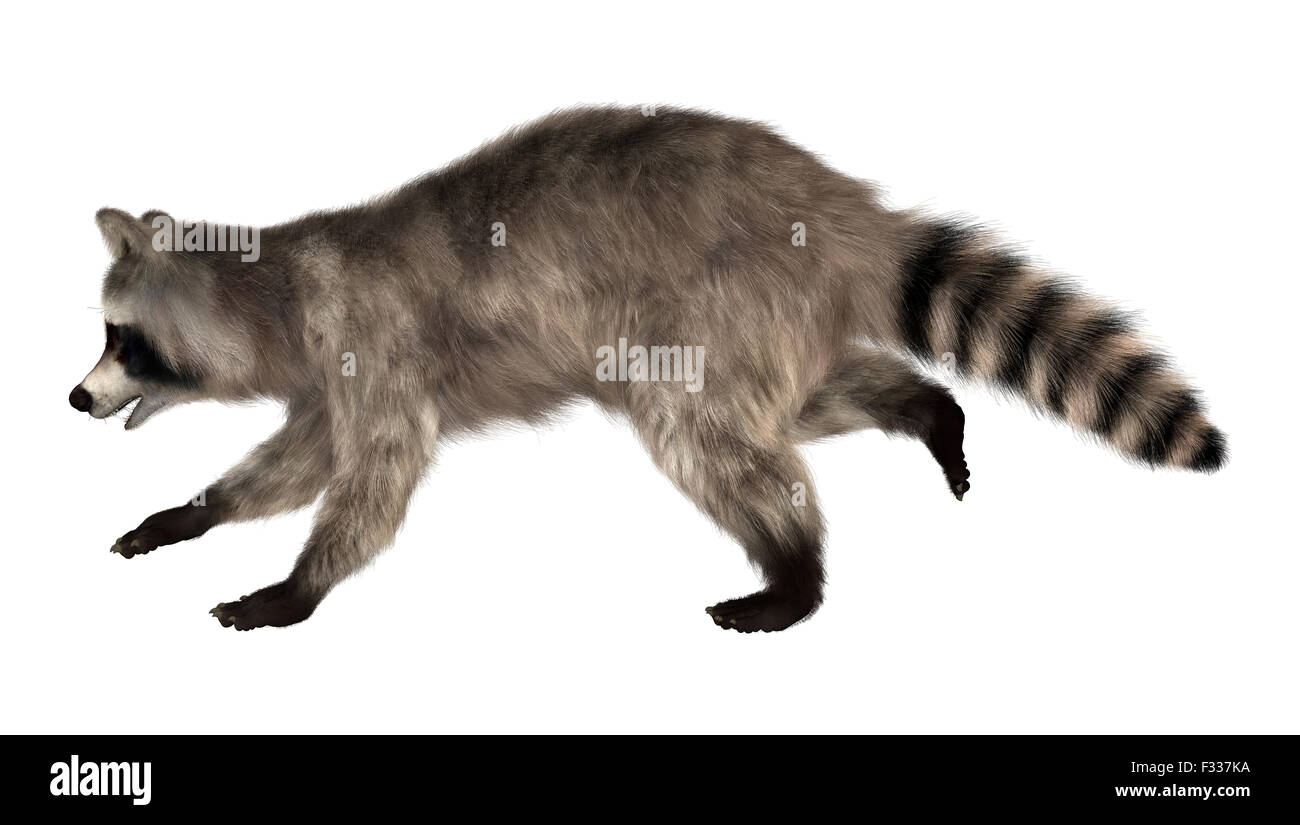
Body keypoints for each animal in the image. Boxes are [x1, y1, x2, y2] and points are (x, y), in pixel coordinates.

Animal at [70, 106, 1226, 633]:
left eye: (122, 340)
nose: (76, 396)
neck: (267, 284)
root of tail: (840, 209)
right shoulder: (328, 371)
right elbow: (301, 459)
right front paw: (196, 511)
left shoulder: (371, 335)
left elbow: (375, 474)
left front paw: (297, 585)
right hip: (765, 315)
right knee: (798, 405)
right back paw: (923, 408)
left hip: (724, 291)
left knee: (710, 431)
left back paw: (795, 569)